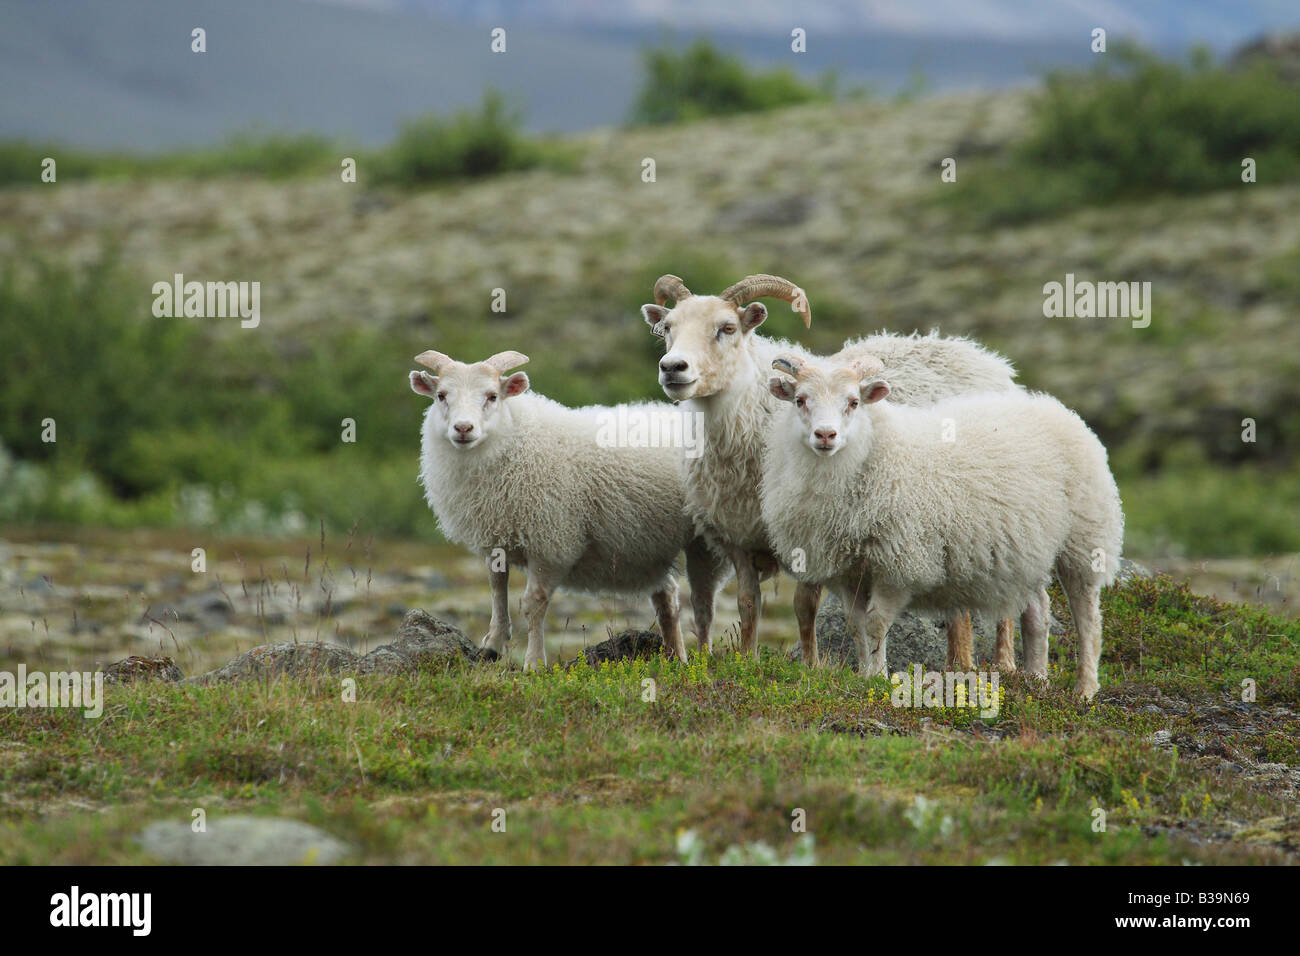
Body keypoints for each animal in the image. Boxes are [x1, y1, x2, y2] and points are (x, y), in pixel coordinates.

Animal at [408, 348, 726, 670]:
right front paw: (492, 645)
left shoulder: (550, 541)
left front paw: (534, 663)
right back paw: (676, 658)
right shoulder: (496, 536)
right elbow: (497, 590)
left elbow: (533, 603)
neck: (515, 441)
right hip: (650, 549)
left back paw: (703, 659)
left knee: (703, 604)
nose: (463, 429)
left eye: (492, 396)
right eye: (441, 396)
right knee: (668, 598)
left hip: (705, 541)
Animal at [641, 273, 1022, 670]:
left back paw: (1000, 664)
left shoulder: (812, 533)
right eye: (667, 328)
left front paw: (810, 666)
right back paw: (958, 662)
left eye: (727, 328)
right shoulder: (738, 536)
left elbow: (804, 606)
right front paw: (748, 660)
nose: (672, 367)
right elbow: (748, 604)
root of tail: (985, 358)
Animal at [760, 352, 1124, 698]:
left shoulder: (898, 564)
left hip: (1085, 540)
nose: (825, 435)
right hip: (1025, 552)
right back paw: (1036, 679)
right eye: (800, 400)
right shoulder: (849, 571)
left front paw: (878, 677)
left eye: (853, 402)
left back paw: (1085, 689)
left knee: (1088, 620)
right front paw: (864, 675)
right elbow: (855, 625)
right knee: (1037, 613)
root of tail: (1055, 407)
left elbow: (876, 623)